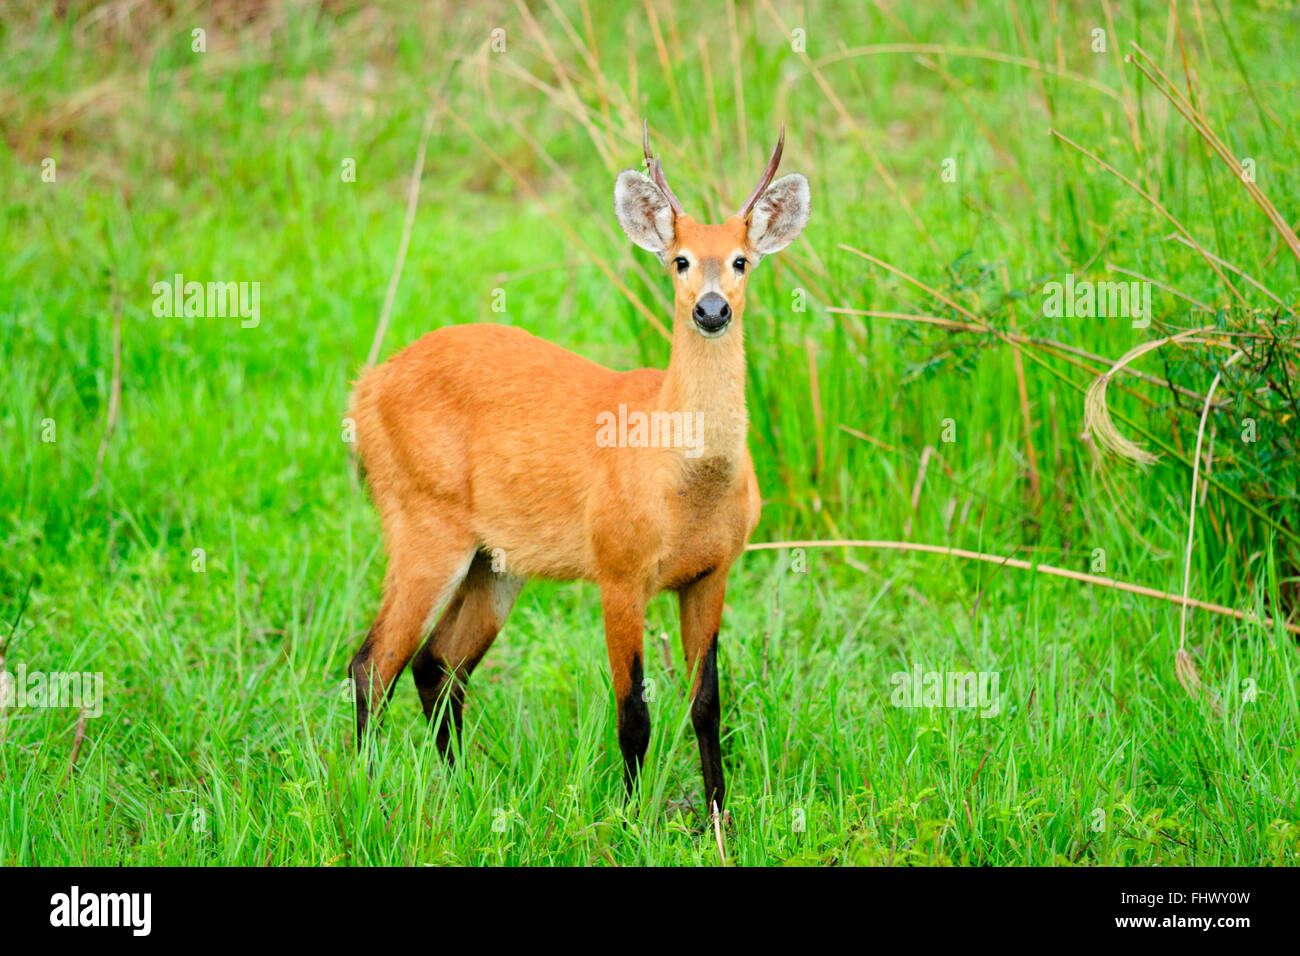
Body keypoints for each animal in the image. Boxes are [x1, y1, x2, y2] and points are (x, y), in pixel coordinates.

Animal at [347, 121, 810, 817]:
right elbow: (633, 713)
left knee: (437, 663)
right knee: (374, 664)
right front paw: (630, 819)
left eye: (740, 259)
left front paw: (719, 817)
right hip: (422, 526)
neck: (683, 479)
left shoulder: (711, 572)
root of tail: (365, 389)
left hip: (495, 562)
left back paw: (461, 789)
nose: (710, 310)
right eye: (679, 259)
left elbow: (706, 705)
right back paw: (369, 795)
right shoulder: (619, 570)